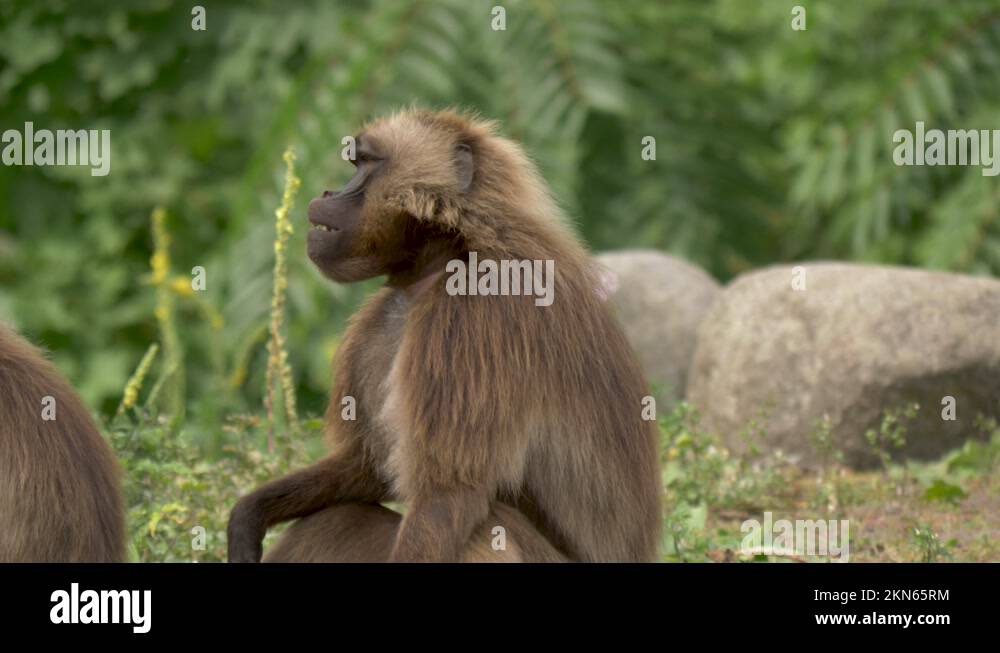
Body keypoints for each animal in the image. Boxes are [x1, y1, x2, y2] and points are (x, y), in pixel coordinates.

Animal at [227, 109, 662, 563]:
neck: (446, 259)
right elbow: (369, 468)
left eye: (367, 164)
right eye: (355, 163)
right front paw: (248, 516)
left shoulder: (472, 318)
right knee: (337, 518)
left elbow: (447, 492)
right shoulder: (381, 324)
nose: (327, 193)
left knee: (487, 526)